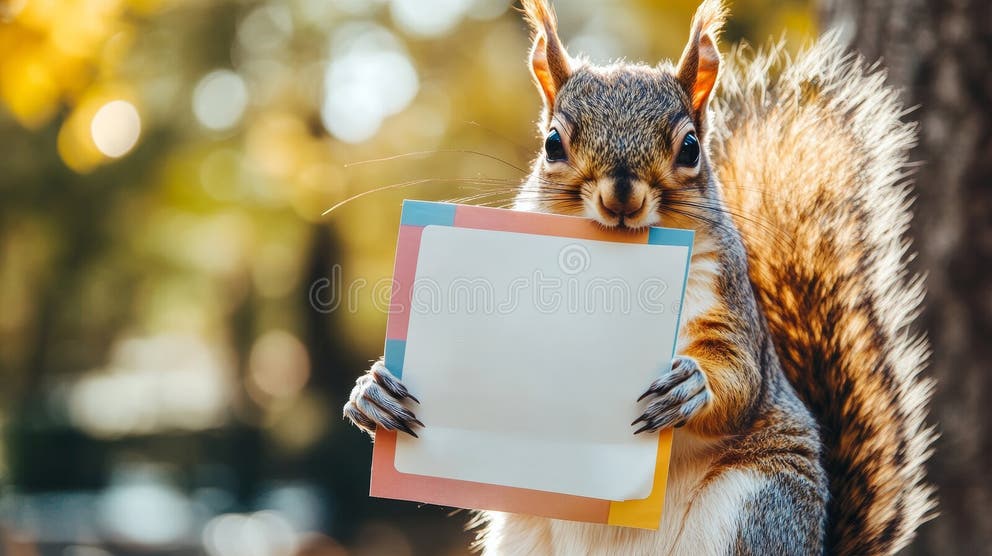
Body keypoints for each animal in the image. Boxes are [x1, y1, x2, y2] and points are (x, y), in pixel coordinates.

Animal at [343, 0, 936, 554]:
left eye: (691, 146)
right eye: (552, 143)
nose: (621, 195)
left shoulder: (732, 305)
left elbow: (740, 377)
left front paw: (691, 385)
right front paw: (372, 394)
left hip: (757, 507)